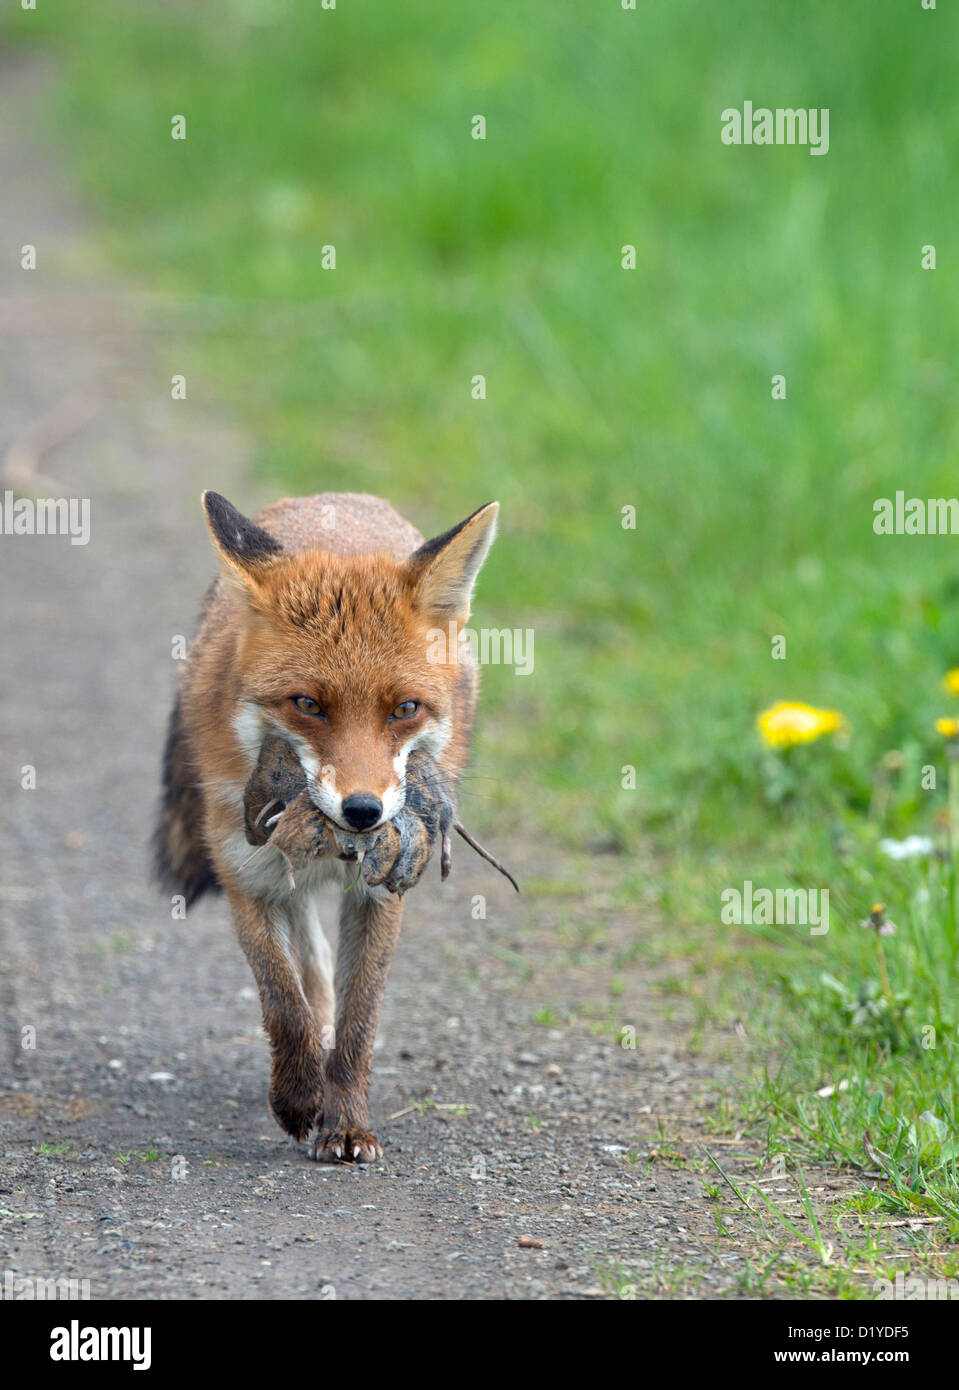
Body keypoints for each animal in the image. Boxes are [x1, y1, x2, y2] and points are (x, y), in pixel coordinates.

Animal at [155, 490, 499, 1162]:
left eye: (405, 709)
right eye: (308, 705)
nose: (363, 811)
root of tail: (335, 500)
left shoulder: (381, 891)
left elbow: (359, 1019)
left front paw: (346, 1123)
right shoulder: (247, 877)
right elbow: (283, 1003)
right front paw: (297, 1100)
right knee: (310, 975)